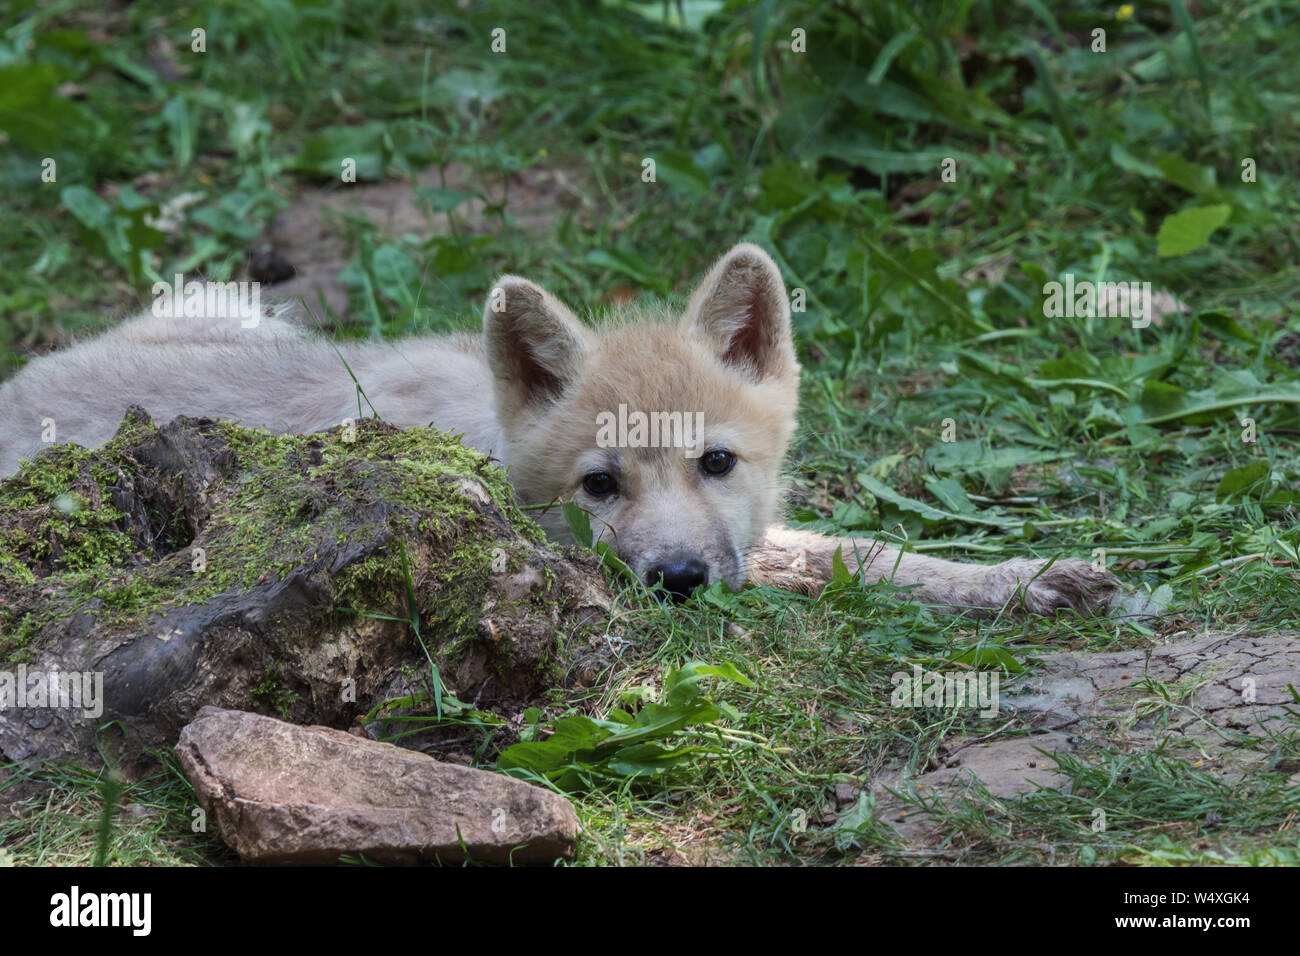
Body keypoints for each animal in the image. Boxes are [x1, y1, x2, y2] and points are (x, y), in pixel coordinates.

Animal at [0, 243, 1119, 614]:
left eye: (717, 461)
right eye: (599, 484)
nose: (677, 583)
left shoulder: (750, 539)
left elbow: (873, 554)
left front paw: (1017, 579)